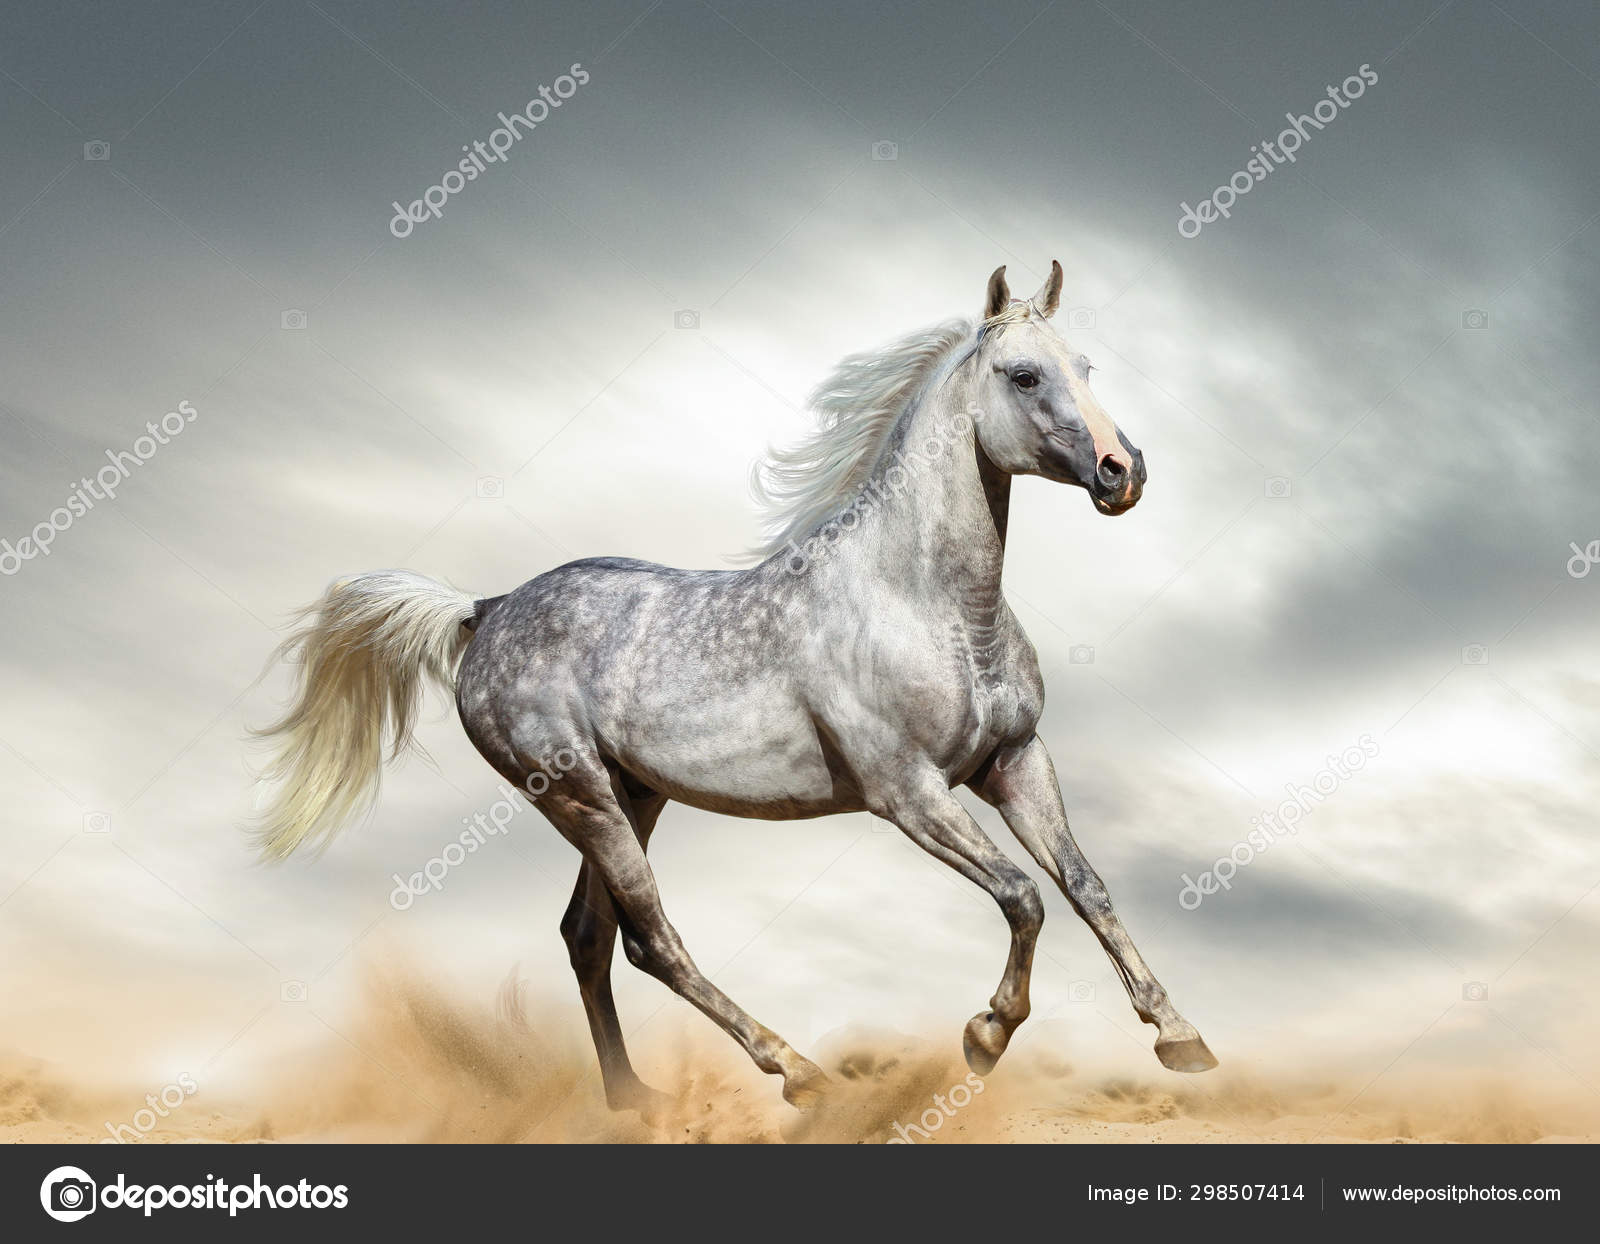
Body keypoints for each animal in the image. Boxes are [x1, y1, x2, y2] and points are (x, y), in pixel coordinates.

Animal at [253, 261, 1217, 1113]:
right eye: (1024, 374)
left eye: (1086, 367)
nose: (1123, 472)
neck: (928, 603)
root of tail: (484, 611)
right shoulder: (908, 792)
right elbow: (1023, 896)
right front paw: (984, 1036)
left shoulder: (1015, 761)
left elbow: (1085, 887)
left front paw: (1181, 1037)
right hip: (580, 797)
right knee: (651, 942)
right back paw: (800, 1074)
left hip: (632, 794)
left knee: (587, 938)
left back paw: (633, 1099)